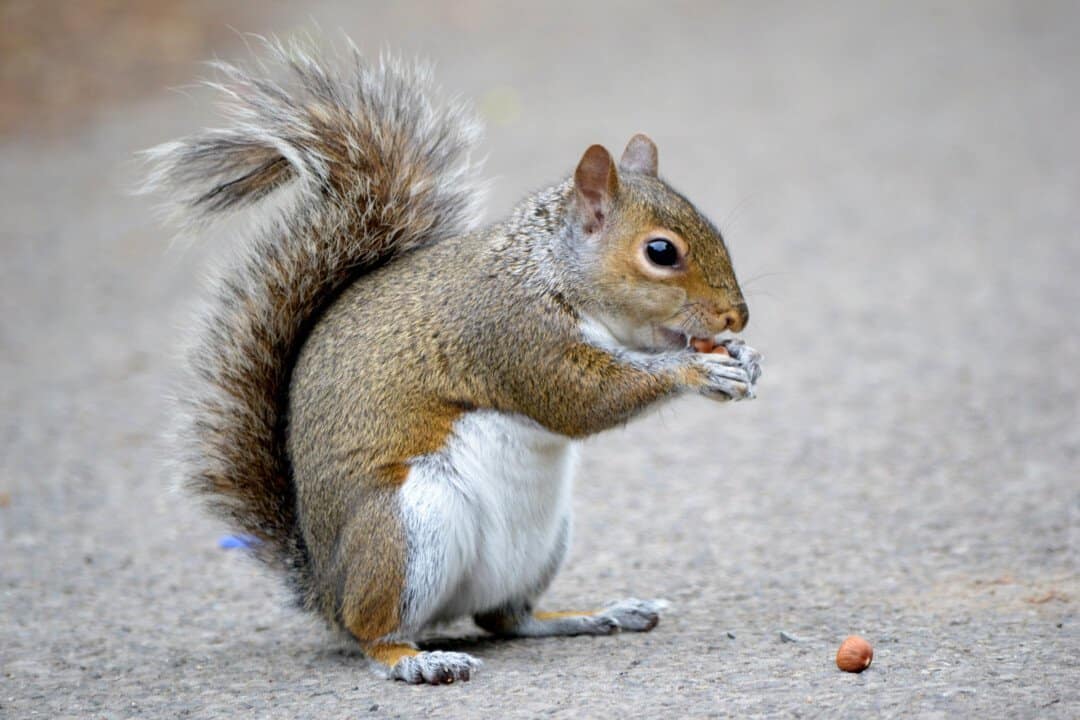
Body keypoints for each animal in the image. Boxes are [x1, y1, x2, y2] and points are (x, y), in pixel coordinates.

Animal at [144, 39, 761, 685]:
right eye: (661, 252)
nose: (737, 317)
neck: (549, 269)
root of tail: (328, 588)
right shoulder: (510, 332)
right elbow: (580, 399)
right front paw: (698, 370)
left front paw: (743, 359)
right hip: (405, 530)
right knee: (374, 632)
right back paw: (417, 661)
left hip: (542, 543)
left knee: (507, 619)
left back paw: (595, 614)